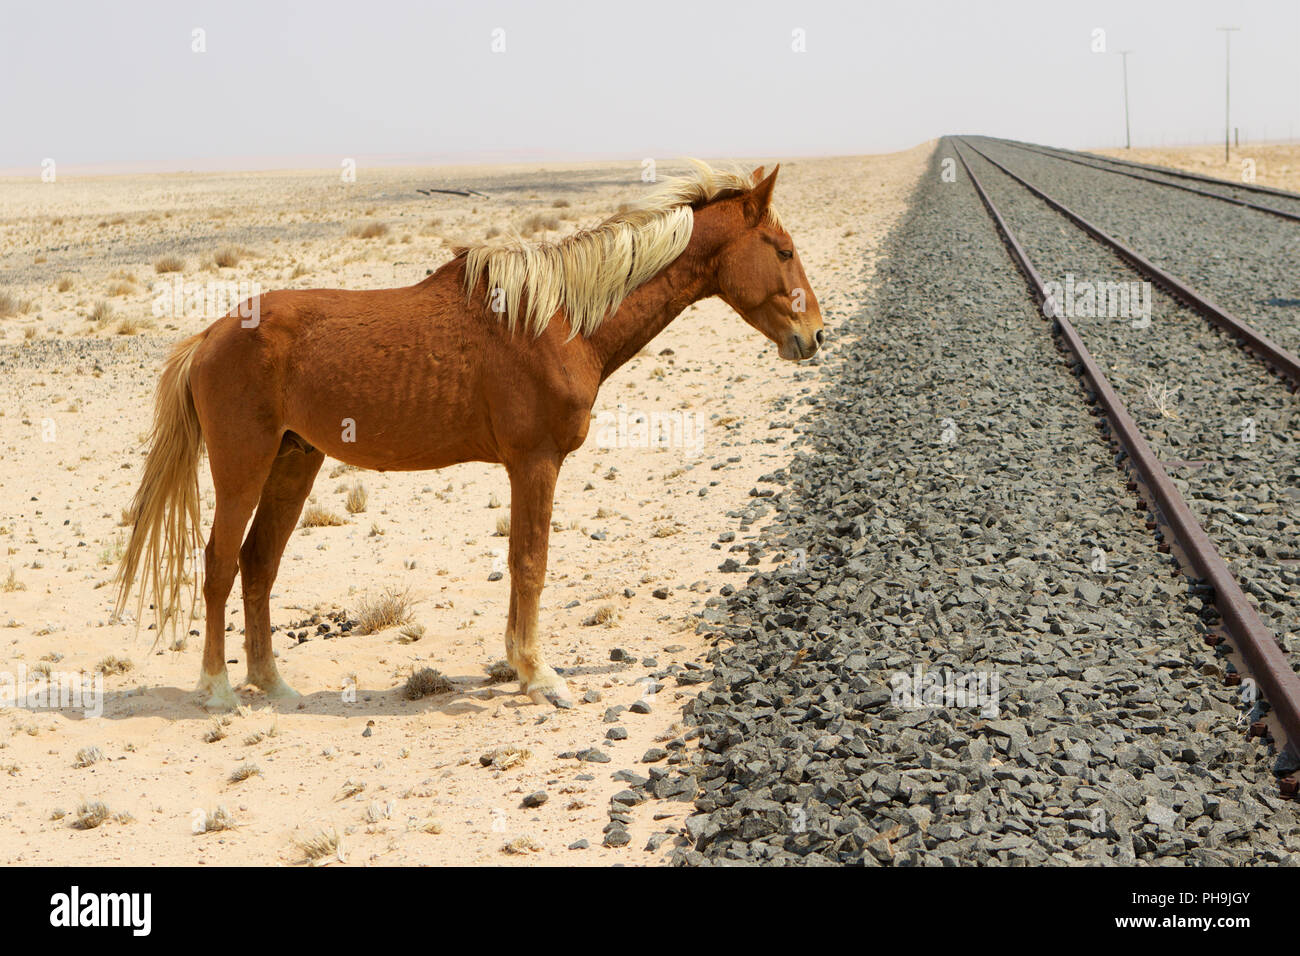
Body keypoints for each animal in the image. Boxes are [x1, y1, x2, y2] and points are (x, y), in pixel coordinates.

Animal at [114, 161, 824, 709]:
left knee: (259, 563)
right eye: (783, 250)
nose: (814, 334)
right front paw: (539, 676)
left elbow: (521, 563)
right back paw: (218, 690)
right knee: (219, 562)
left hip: (295, 462)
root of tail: (209, 335)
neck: (557, 319)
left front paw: (522, 667)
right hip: (245, 466)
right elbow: (530, 563)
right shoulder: (535, 463)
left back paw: (273, 684)